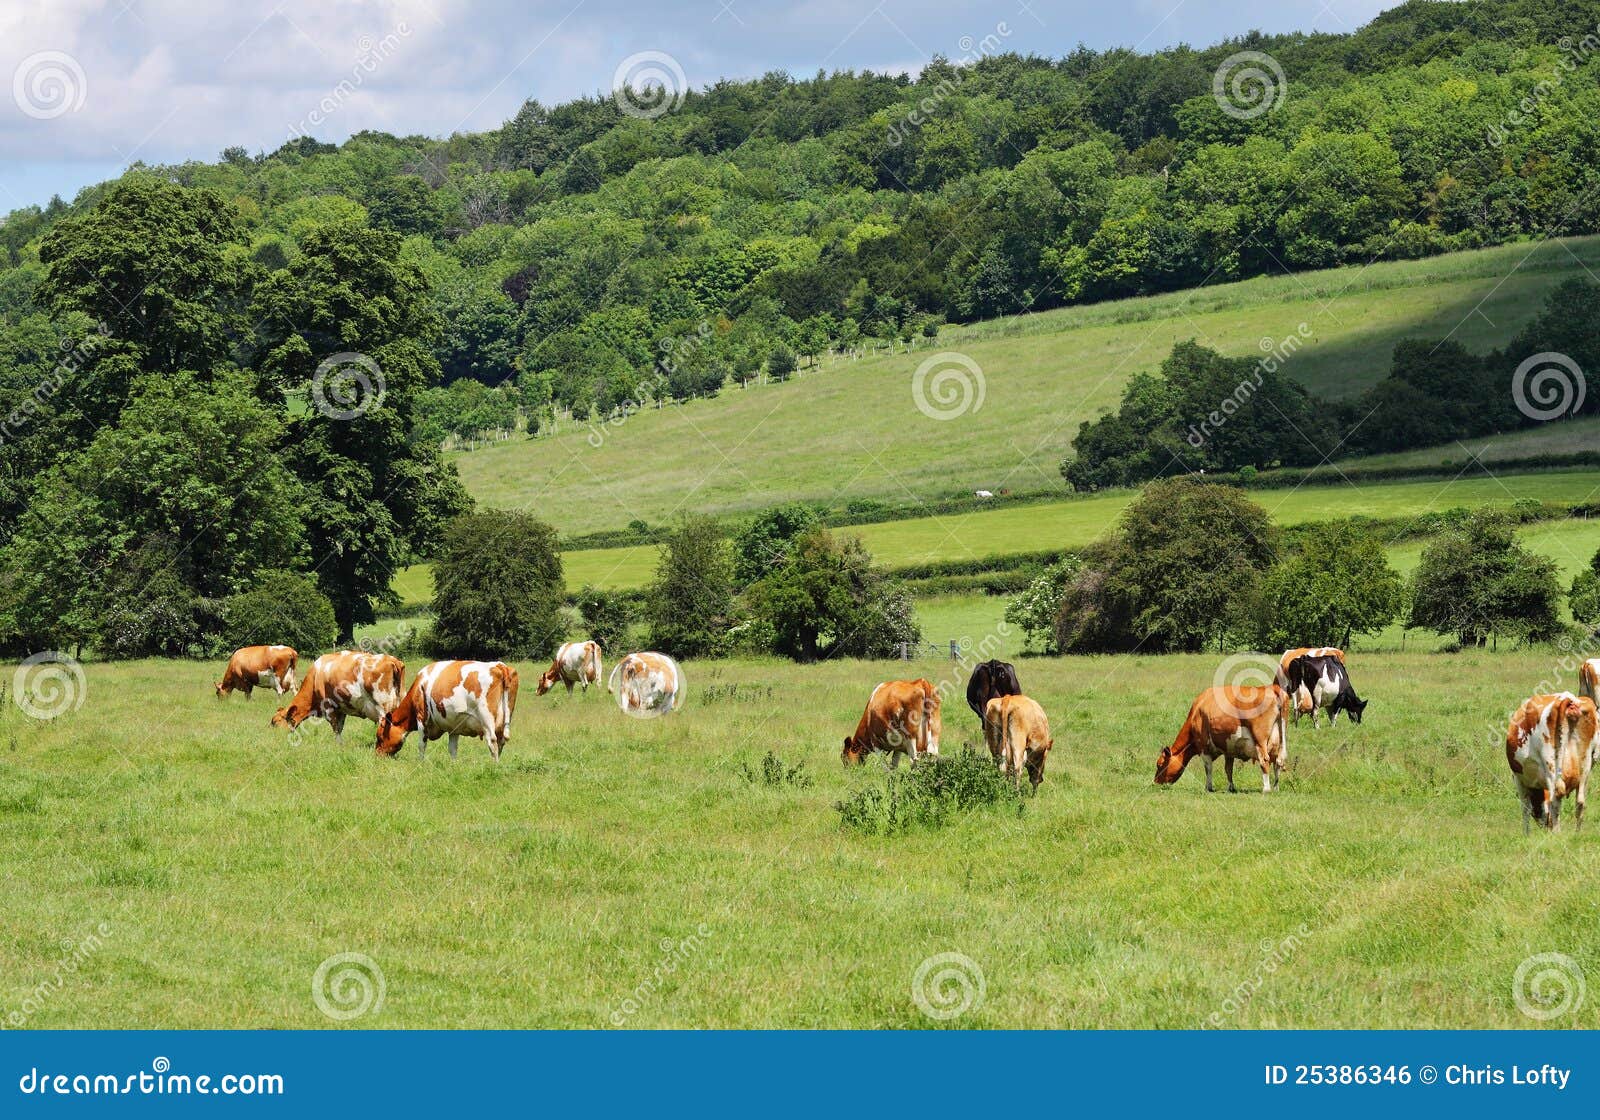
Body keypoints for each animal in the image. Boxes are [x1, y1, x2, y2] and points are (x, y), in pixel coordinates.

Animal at [270, 651, 405, 741]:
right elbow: (340, 728)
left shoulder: (329, 708)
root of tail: (392, 660)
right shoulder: (341, 709)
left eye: (275, 722)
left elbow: (336, 729)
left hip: (383, 708)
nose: (274, 737)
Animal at [375, 660, 520, 761]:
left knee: (492, 742)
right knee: (501, 742)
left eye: (380, 737)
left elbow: (422, 744)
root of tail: (499, 665)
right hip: (505, 719)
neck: (419, 686)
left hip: (487, 719)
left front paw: (420, 762)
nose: (377, 755)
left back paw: (493, 766)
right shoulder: (454, 726)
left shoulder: (421, 717)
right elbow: (452, 748)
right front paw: (453, 765)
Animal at [1155, 684, 1289, 794]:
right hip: (1280, 740)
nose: (1155, 781)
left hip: (1260, 740)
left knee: (1265, 761)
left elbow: (1208, 767)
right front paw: (1231, 788)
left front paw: (1208, 787)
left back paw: (1266, 789)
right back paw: (1276, 788)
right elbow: (1228, 769)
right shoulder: (1229, 748)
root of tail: (1273, 688)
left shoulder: (1203, 746)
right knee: (1278, 761)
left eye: (1160, 765)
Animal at [1506, 692, 1600, 832]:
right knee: (1580, 802)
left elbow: (1525, 809)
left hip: (1550, 764)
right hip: (1586, 765)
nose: (1545, 827)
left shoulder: (1518, 779)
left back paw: (1557, 832)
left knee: (1555, 798)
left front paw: (1526, 834)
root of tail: (1569, 699)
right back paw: (1577, 833)